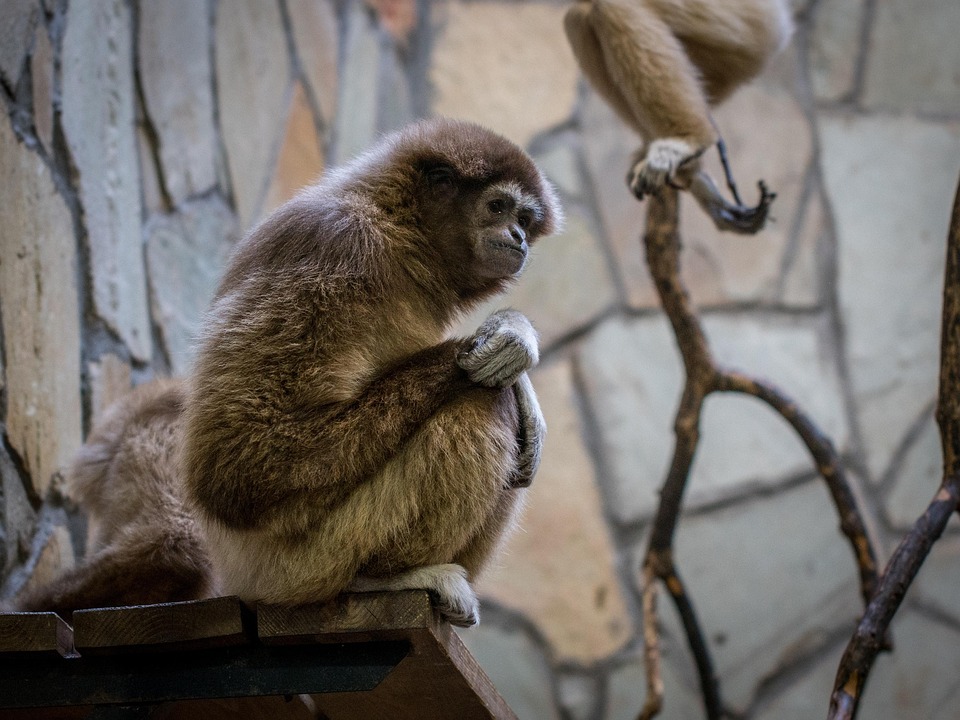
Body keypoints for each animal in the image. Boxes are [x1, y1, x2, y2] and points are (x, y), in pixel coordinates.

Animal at [11, 119, 560, 628]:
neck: (394, 231)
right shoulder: (334, 248)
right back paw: (383, 578)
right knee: (483, 398)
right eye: (497, 207)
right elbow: (241, 469)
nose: (517, 236)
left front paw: (519, 359)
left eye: (524, 218)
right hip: (302, 563)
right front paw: (507, 347)